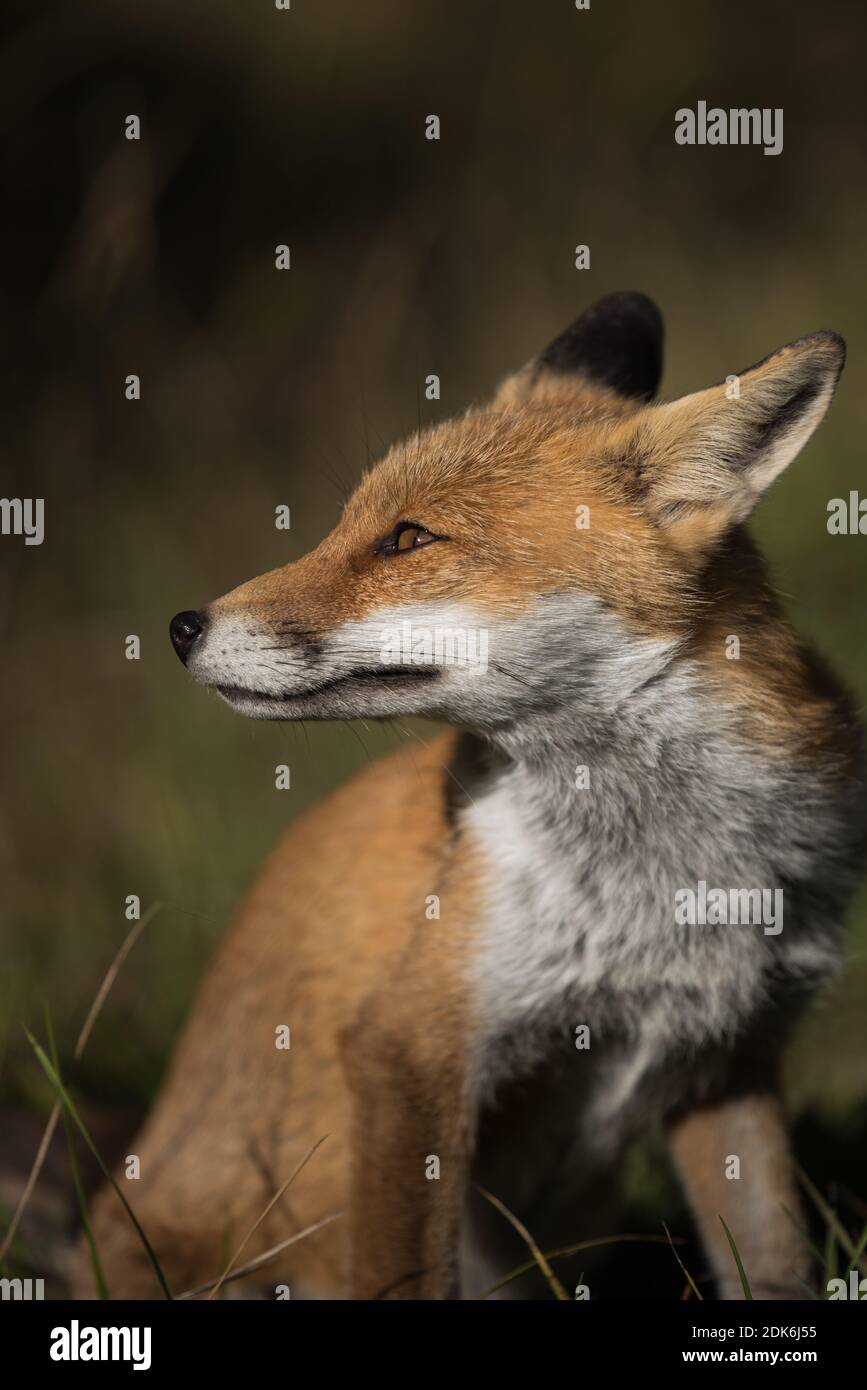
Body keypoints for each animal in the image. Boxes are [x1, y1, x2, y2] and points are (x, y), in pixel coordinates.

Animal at [74, 292, 865, 1300]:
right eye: (344, 525)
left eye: (409, 539)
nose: (180, 628)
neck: (662, 880)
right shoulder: (410, 1042)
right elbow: (404, 1272)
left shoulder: (727, 1060)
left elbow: (770, 1265)